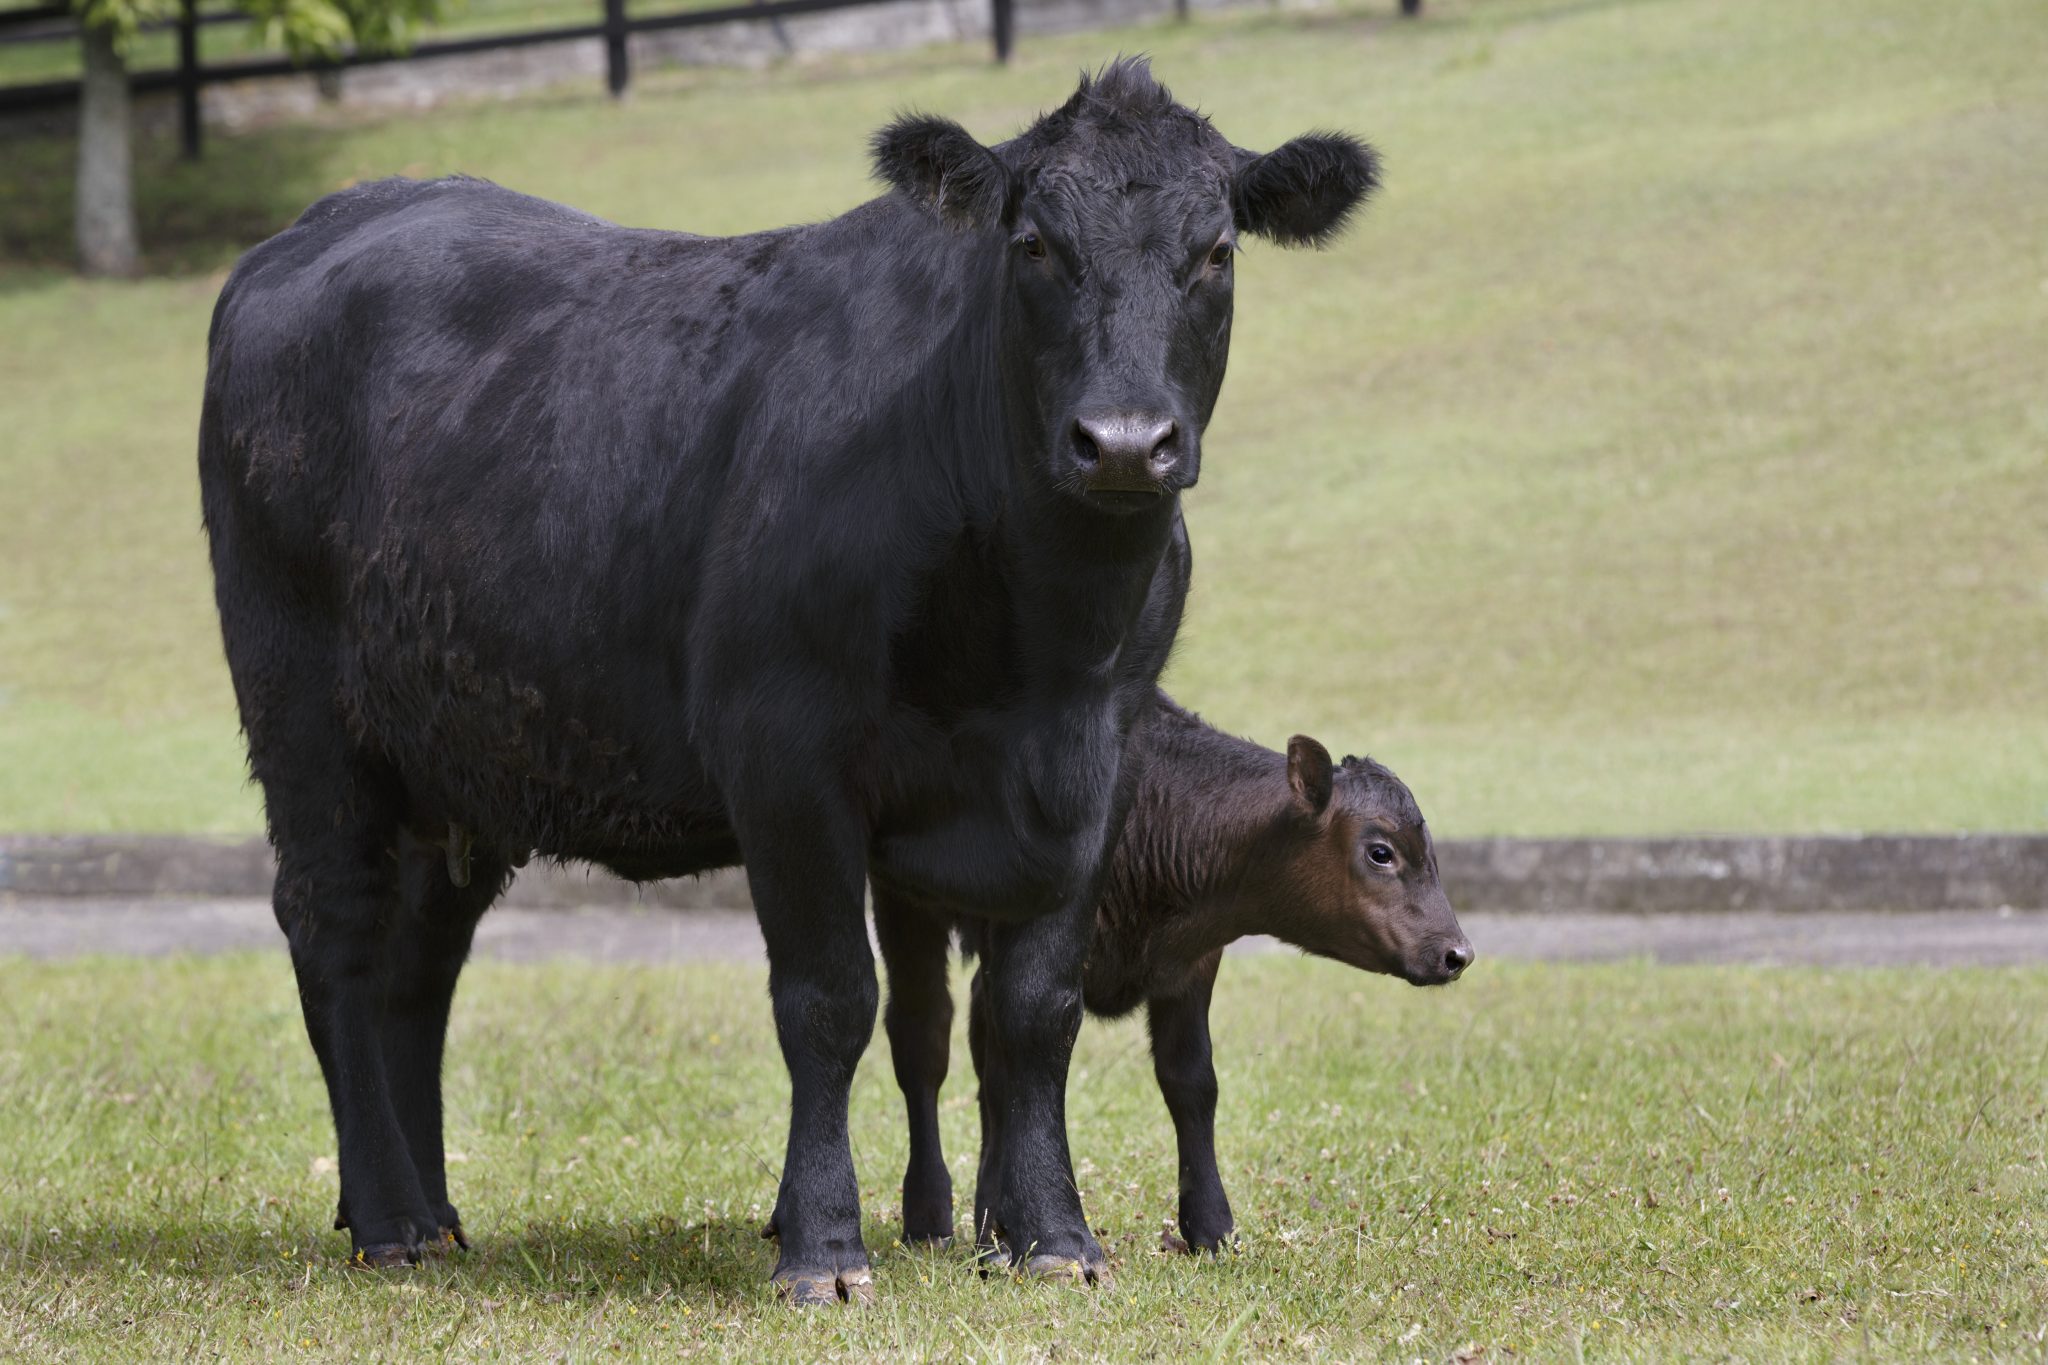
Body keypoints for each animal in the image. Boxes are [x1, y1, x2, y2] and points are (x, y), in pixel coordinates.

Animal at [197, 57, 1378, 1304]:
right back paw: (384, 1214)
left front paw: (1052, 1236)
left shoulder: (1094, 763)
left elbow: (1029, 1012)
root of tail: (331, 220)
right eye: (1035, 244)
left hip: (457, 753)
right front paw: (822, 1247)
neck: (1034, 639)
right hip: (304, 717)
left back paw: (431, 1213)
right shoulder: (784, 753)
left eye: (1216, 253)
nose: (1119, 442)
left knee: (419, 964)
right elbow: (828, 1000)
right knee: (337, 932)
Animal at [874, 690, 1471, 1256]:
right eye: (1381, 852)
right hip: (903, 899)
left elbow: (1190, 1081)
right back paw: (929, 1217)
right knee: (922, 1040)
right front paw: (1005, 1231)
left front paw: (1212, 1227)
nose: (1458, 953)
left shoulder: (1191, 964)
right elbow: (1012, 1072)